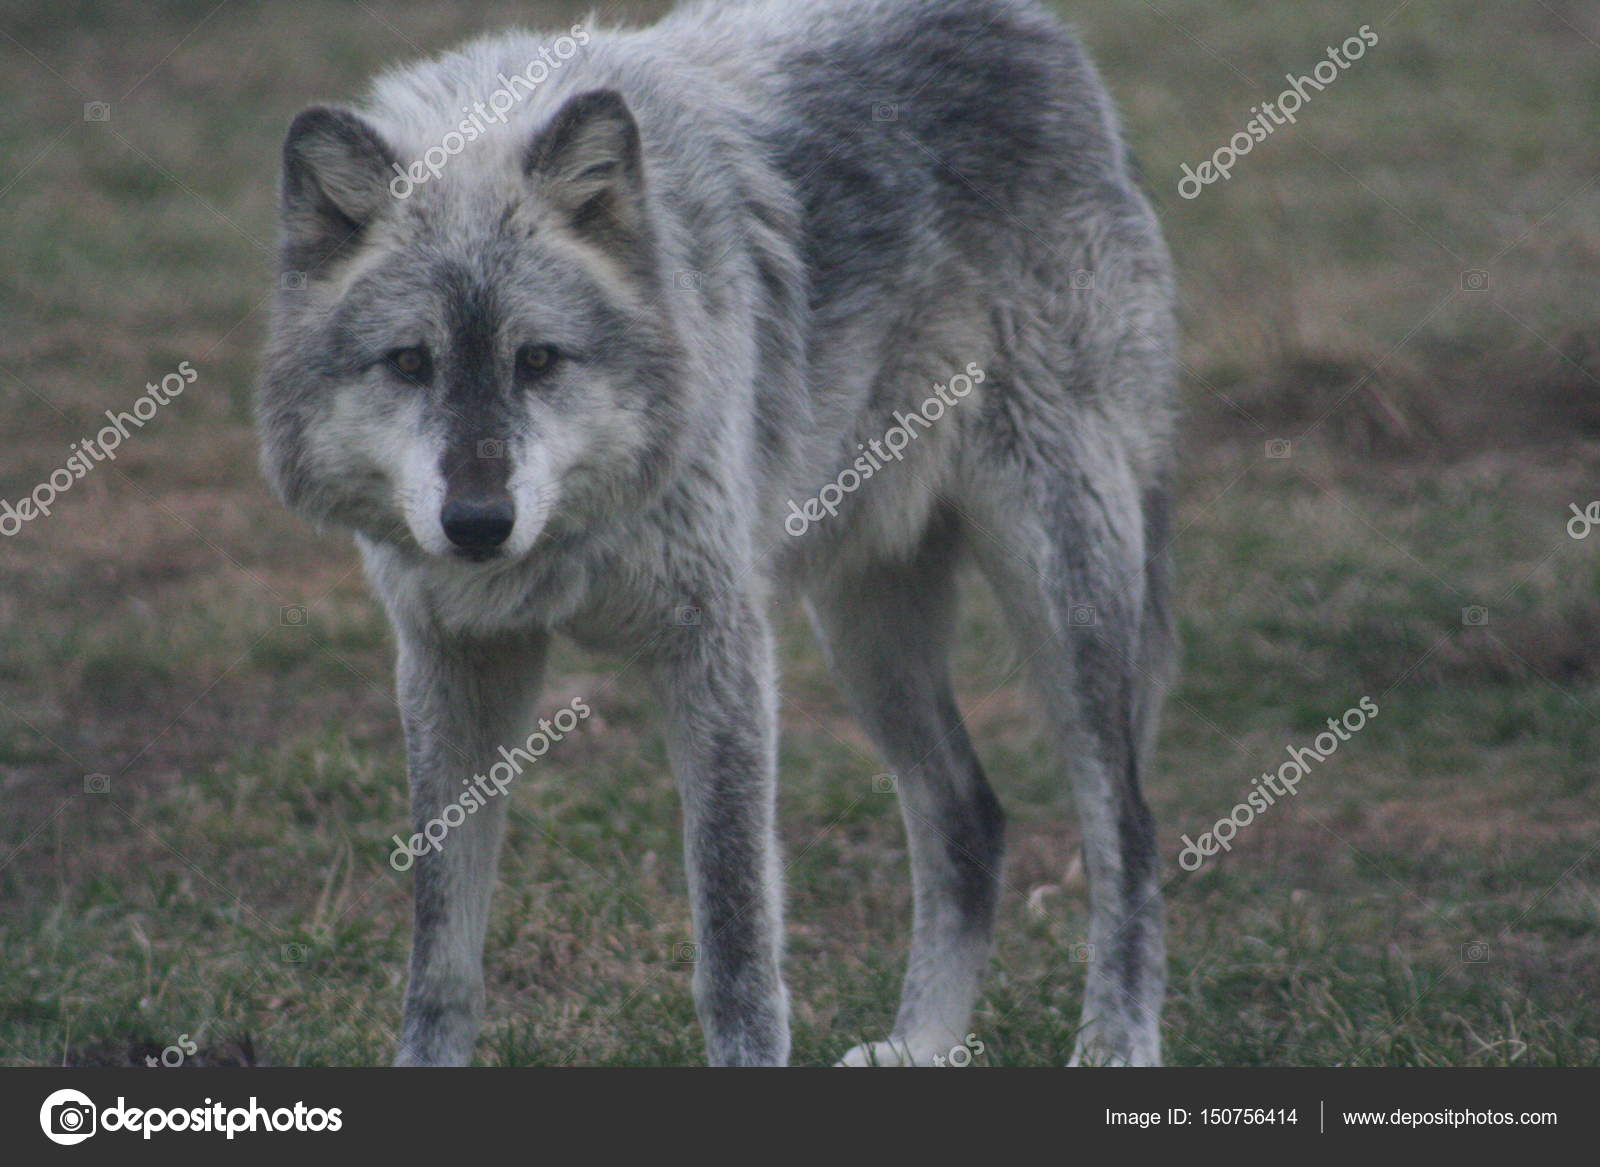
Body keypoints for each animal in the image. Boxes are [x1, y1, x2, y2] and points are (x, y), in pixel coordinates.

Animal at [257, 0, 1178, 1067]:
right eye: (410, 362)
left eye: (539, 360)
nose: (479, 524)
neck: (573, 535)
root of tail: (1038, 30)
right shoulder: (458, 661)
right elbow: (439, 955)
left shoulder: (718, 650)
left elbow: (736, 943)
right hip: (864, 632)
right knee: (970, 817)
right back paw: (919, 1043)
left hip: (1058, 586)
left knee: (1127, 828)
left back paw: (1116, 1041)